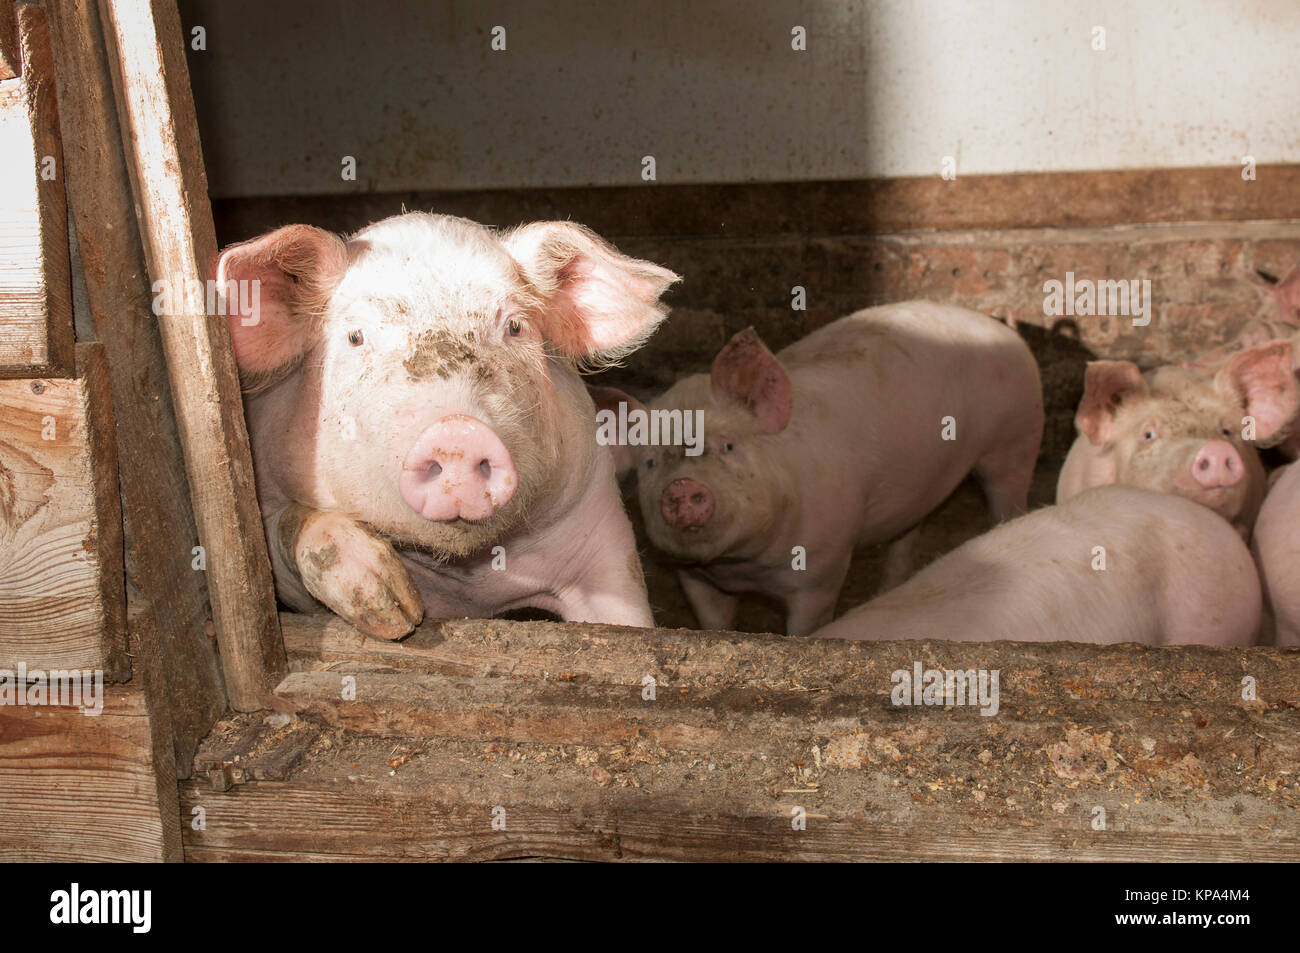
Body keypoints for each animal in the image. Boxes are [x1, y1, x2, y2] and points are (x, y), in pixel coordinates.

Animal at [216, 212, 679, 638]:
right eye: (356, 337)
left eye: (515, 327)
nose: (458, 432)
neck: (468, 587)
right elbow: (284, 528)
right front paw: (392, 609)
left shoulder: (600, 527)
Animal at [608, 301, 1044, 636]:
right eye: (650, 462)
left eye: (729, 445)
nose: (681, 487)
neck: (743, 567)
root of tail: (999, 327)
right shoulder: (694, 576)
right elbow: (714, 622)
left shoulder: (822, 570)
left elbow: (806, 627)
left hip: (1016, 439)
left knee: (1008, 496)